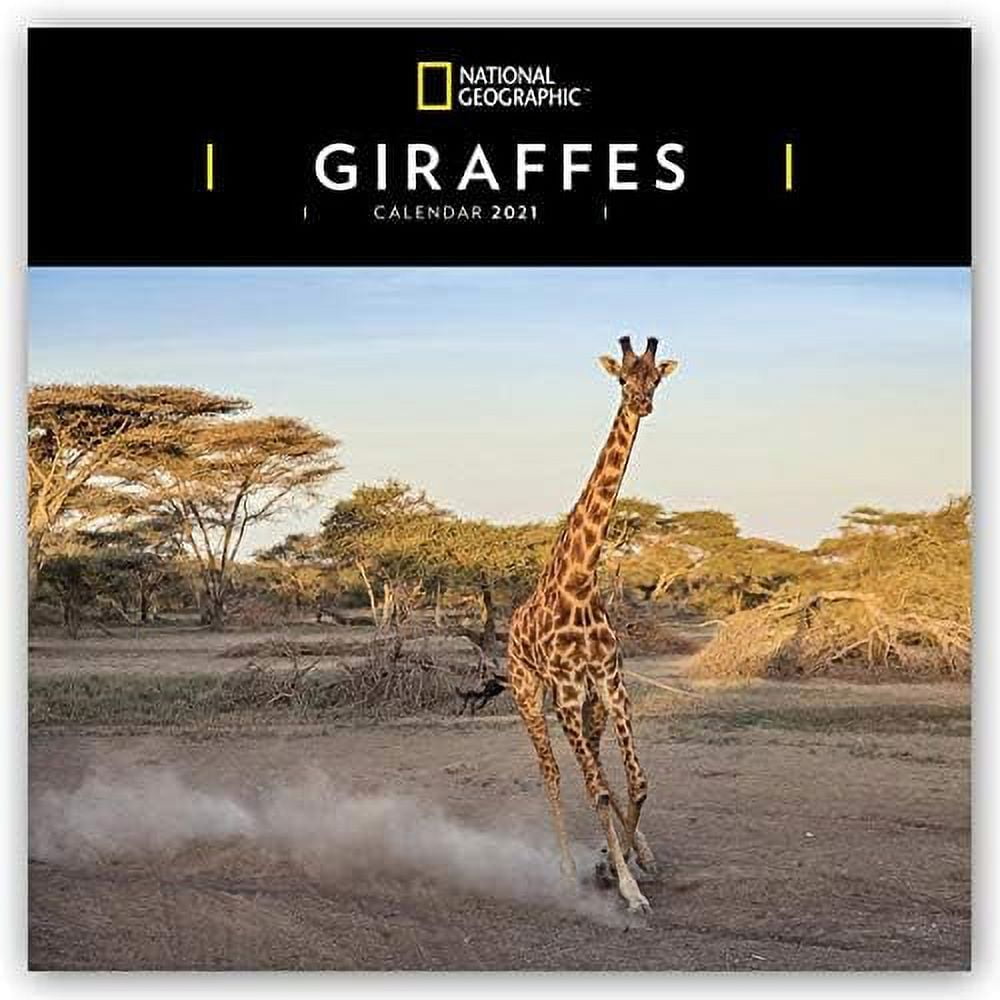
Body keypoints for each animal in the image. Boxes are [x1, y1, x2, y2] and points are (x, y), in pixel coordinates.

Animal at [506, 334, 678, 913]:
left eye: (656, 378)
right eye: (623, 379)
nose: (641, 404)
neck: (579, 581)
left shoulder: (610, 683)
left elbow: (636, 781)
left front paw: (622, 861)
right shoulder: (563, 689)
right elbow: (597, 789)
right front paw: (625, 887)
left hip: (588, 706)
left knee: (597, 765)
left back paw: (634, 854)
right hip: (530, 694)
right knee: (553, 772)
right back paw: (563, 871)